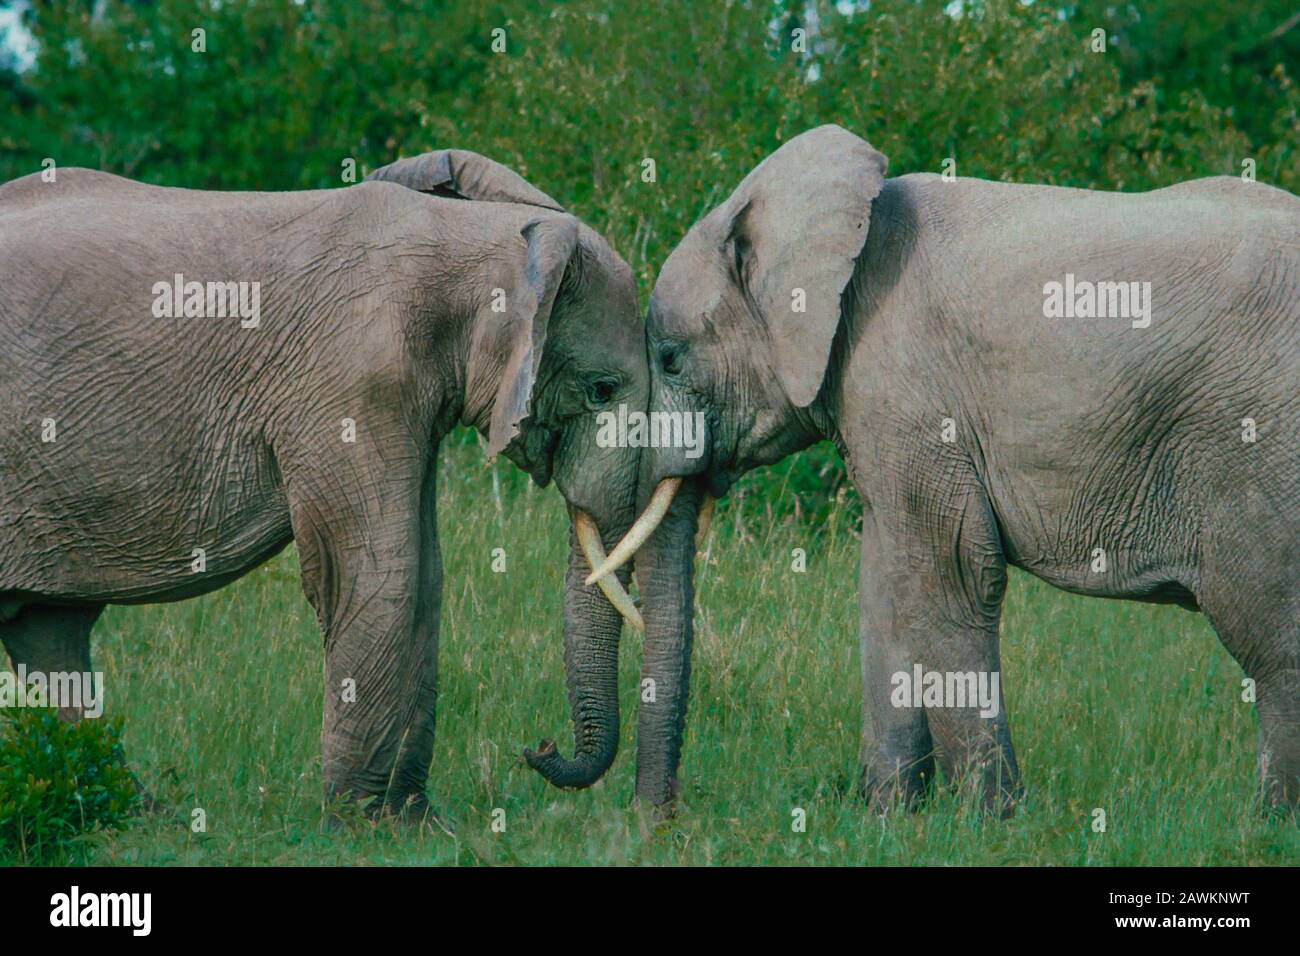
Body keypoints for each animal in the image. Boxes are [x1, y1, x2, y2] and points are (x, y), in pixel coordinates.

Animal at [0, 148, 647, 815]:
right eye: (601, 389)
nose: (538, 749)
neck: (475, 239)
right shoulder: (350, 381)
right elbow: (381, 570)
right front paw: (360, 820)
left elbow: (425, 574)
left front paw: (409, 820)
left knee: (50, 631)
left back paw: (135, 813)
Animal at [587, 124, 1300, 811]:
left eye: (671, 359)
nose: (659, 816)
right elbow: (886, 576)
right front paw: (888, 814)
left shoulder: (910, 394)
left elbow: (950, 569)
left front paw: (988, 819)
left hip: (1255, 443)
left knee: (1268, 636)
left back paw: (1266, 823)